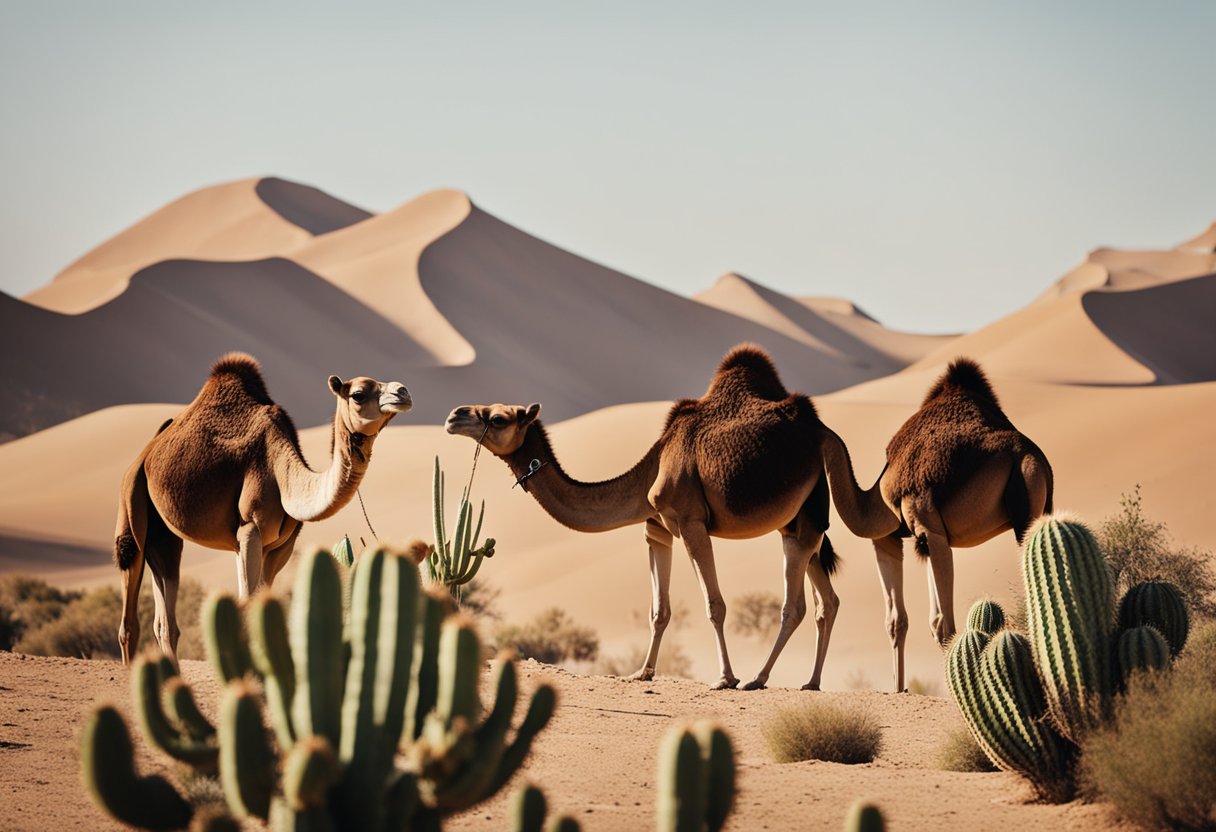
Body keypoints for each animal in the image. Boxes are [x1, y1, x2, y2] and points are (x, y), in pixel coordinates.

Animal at [113, 353, 411, 665]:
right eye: (359, 394)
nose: (403, 392)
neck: (283, 474)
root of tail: (145, 454)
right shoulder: (250, 530)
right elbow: (246, 606)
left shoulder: (280, 546)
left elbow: (260, 605)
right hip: (131, 502)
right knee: (129, 606)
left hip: (163, 535)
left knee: (164, 617)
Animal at [445, 344, 839, 691]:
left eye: (498, 418)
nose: (453, 416)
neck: (652, 466)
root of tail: (822, 430)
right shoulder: (656, 528)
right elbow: (658, 611)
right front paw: (642, 673)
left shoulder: (691, 522)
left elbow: (715, 605)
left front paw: (726, 678)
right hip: (798, 520)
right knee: (827, 599)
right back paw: (812, 682)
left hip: (809, 507)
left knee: (797, 604)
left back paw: (759, 677)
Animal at [819, 357, 1053, 691]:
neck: (877, 496)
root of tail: (1040, 462)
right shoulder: (898, 539)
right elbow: (900, 621)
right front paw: (899, 689)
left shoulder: (928, 528)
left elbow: (943, 623)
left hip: (1025, 510)